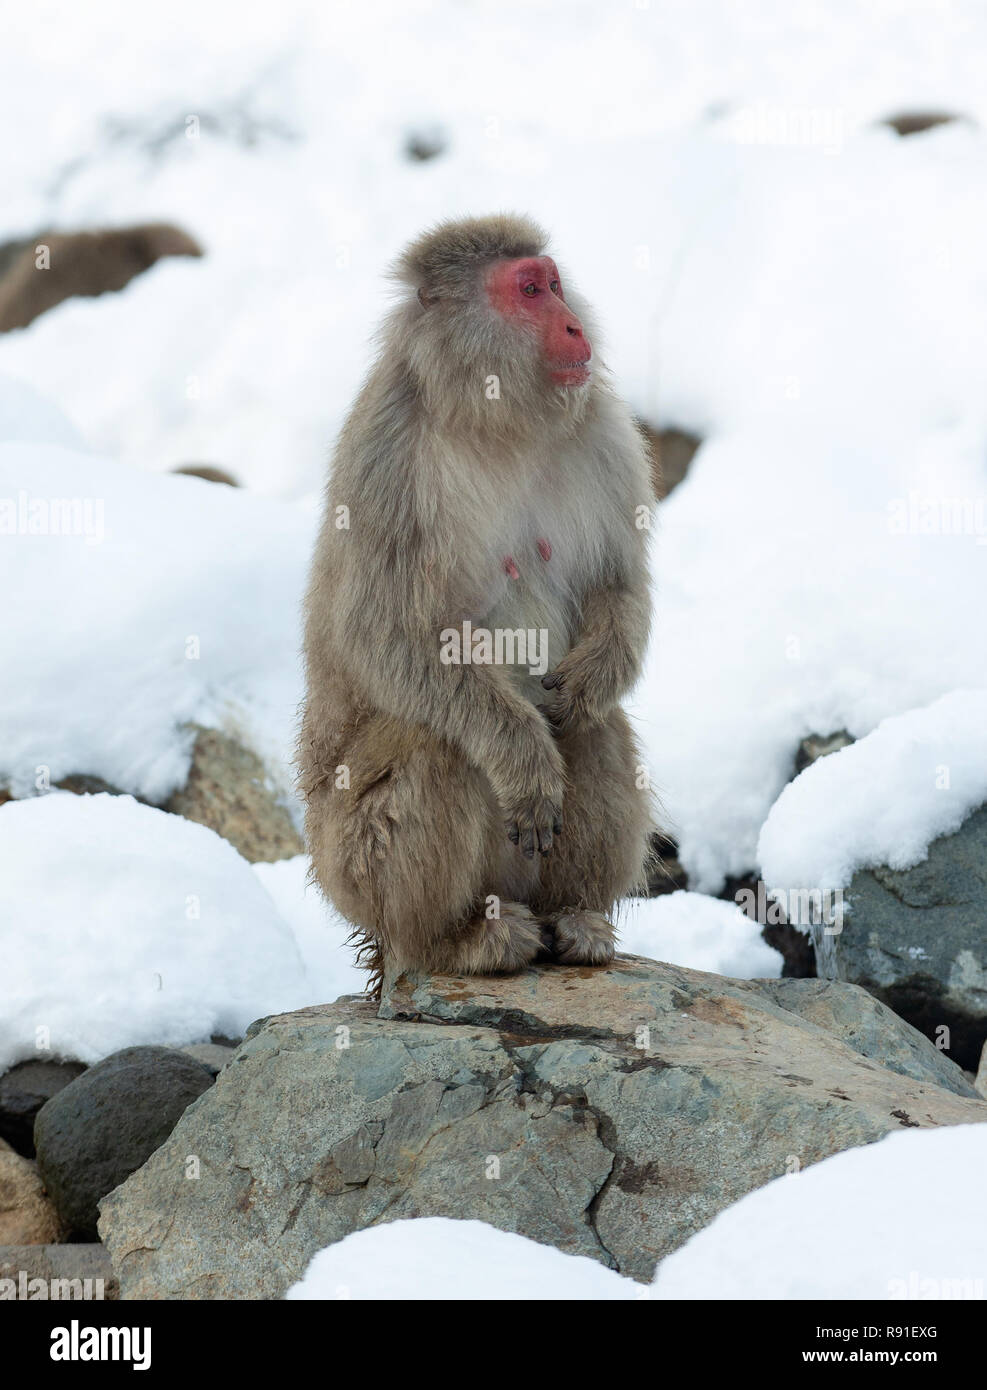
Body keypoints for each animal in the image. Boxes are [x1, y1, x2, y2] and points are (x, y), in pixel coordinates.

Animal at [299, 213, 655, 990]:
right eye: (528, 291)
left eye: (554, 283)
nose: (574, 325)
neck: (493, 420)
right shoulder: (383, 455)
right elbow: (390, 639)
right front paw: (523, 757)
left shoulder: (604, 427)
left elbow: (619, 585)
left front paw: (587, 682)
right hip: (350, 867)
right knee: (436, 741)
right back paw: (452, 941)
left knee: (595, 728)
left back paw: (574, 918)